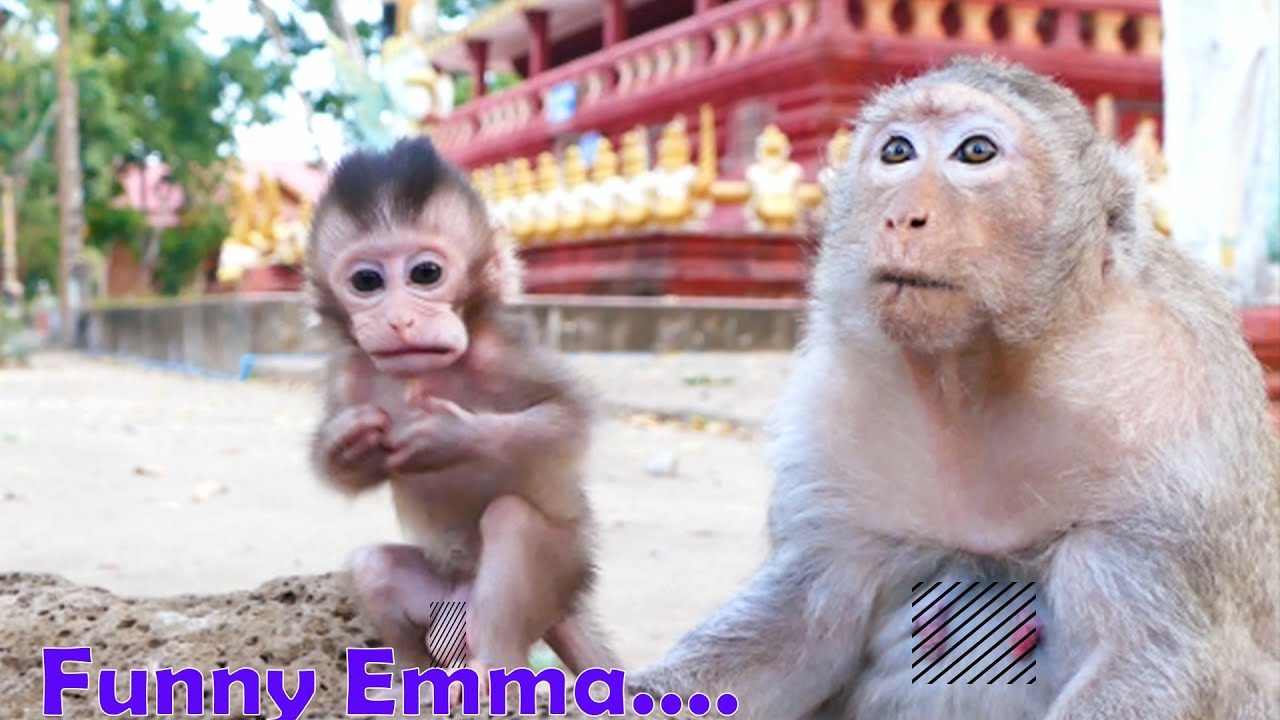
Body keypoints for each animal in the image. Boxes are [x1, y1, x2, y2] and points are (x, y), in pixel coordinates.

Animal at [304, 137, 618, 693]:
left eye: (425, 274)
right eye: (366, 281)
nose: (399, 319)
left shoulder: (501, 350)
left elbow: (568, 419)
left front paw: (447, 437)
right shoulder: (349, 373)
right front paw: (348, 442)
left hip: (565, 575)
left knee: (512, 522)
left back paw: (493, 666)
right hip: (439, 598)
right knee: (374, 568)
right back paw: (410, 680)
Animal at [631, 57, 1280, 720]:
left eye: (975, 151)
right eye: (896, 151)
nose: (901, 216)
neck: (971, 379)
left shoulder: (1174, 402)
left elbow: (1153, 653)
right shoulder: (829, 412)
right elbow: (797, 620)